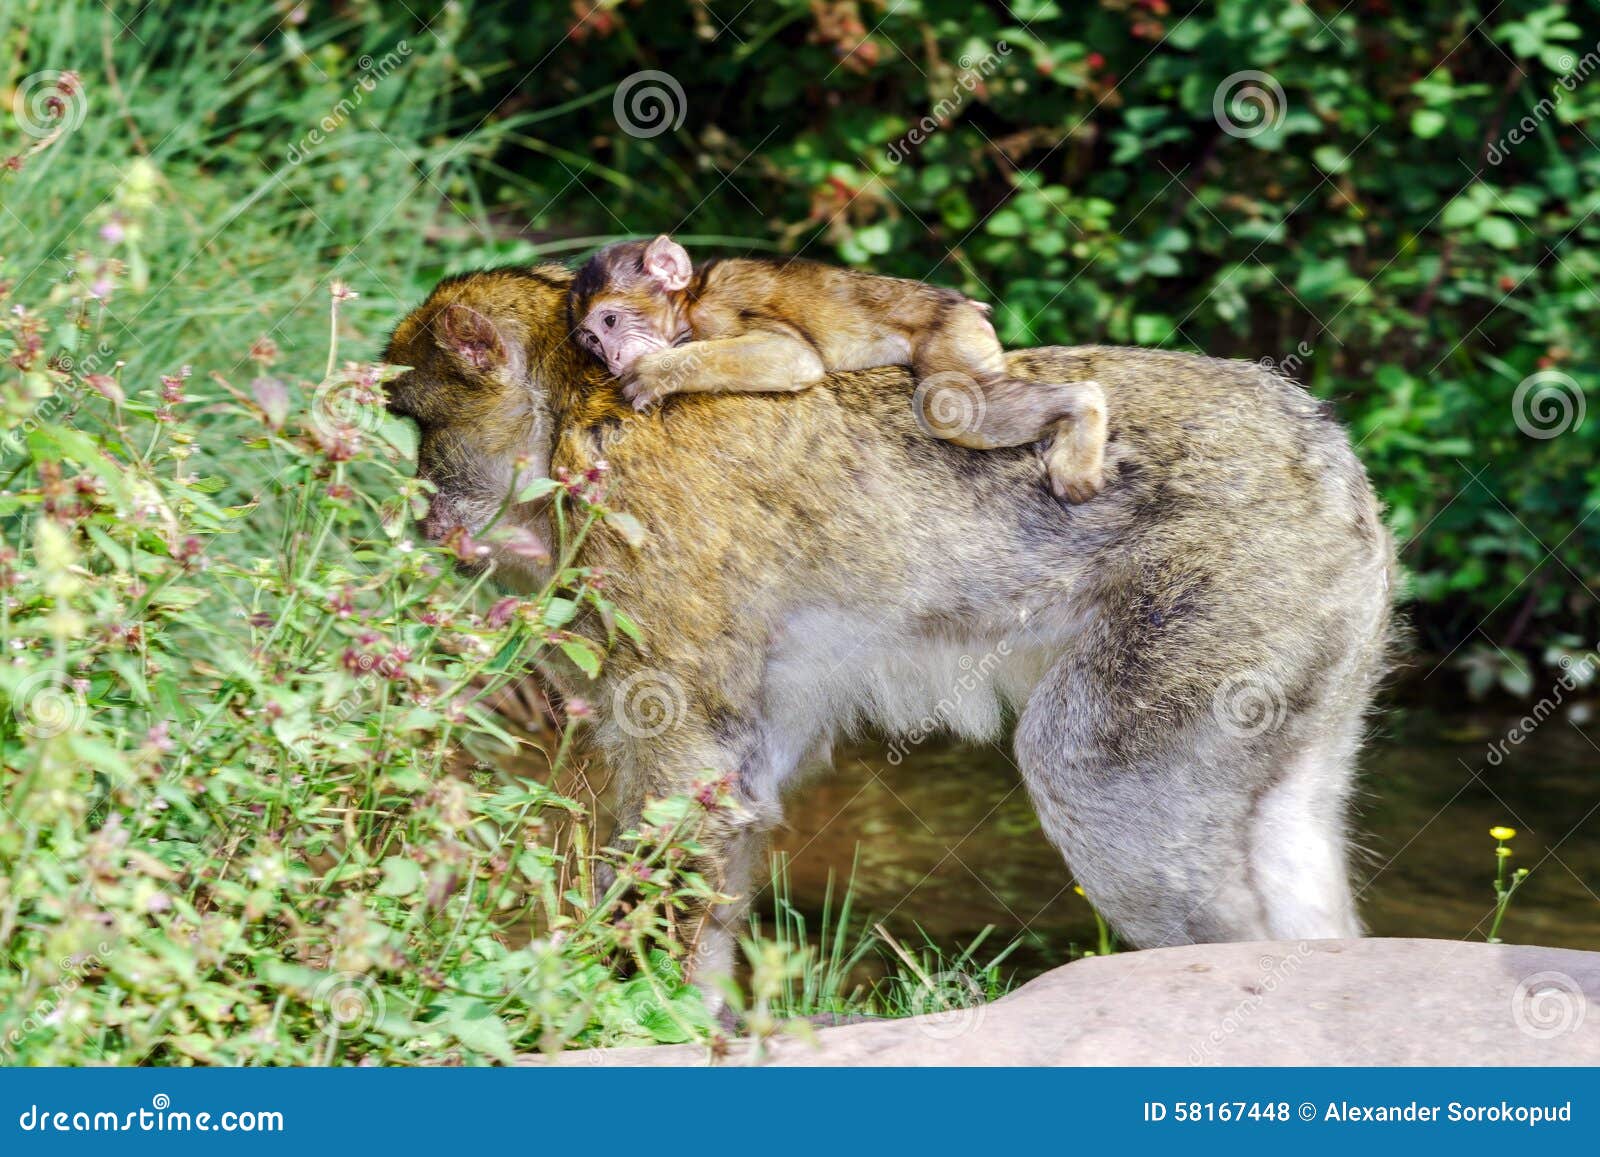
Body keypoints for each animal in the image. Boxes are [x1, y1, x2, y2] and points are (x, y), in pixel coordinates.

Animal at [386, 264, 1398, 1006]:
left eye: (418, 425)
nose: (418, 505)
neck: (567, 414)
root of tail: (1332, 459)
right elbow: (739, 785)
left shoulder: (638, 523)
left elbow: (692, 770)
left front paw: (623, 1008)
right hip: (1310, 618)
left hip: (1226, 585)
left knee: (1094, 770)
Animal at [568, 235, 1109, 505]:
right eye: (591, 340)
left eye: (610, 321)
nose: (611, 357)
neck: (690, 300)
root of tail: (962, 303)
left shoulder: (719, 311)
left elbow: (793, 357)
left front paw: (657, 371)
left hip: (952, 331)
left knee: (950, 405)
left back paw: (1083, 409)